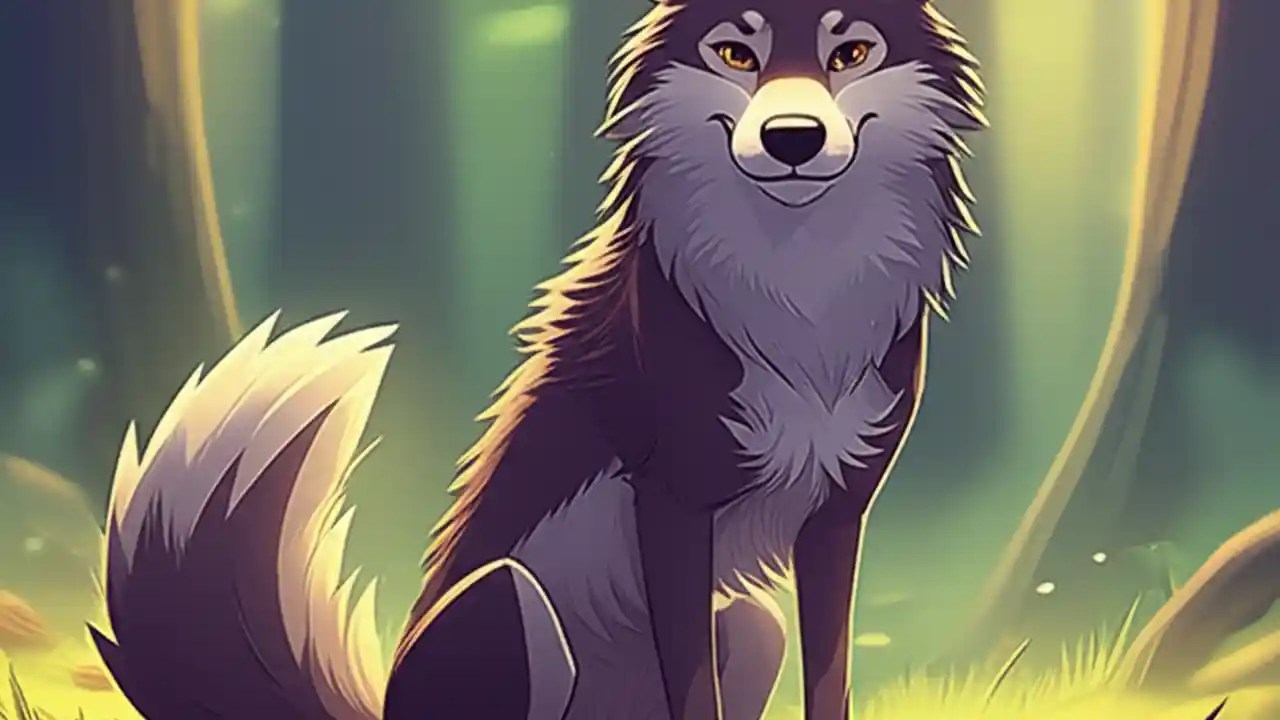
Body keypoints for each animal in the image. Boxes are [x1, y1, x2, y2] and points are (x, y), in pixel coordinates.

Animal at [91, 1, 984, 718]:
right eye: (736, 53)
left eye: (850, 52)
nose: (791, 139)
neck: (800, 284)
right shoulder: (672, 499)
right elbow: (695, 689)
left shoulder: (838, 516)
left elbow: (829, 677)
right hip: (513, 605)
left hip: (751, 624)